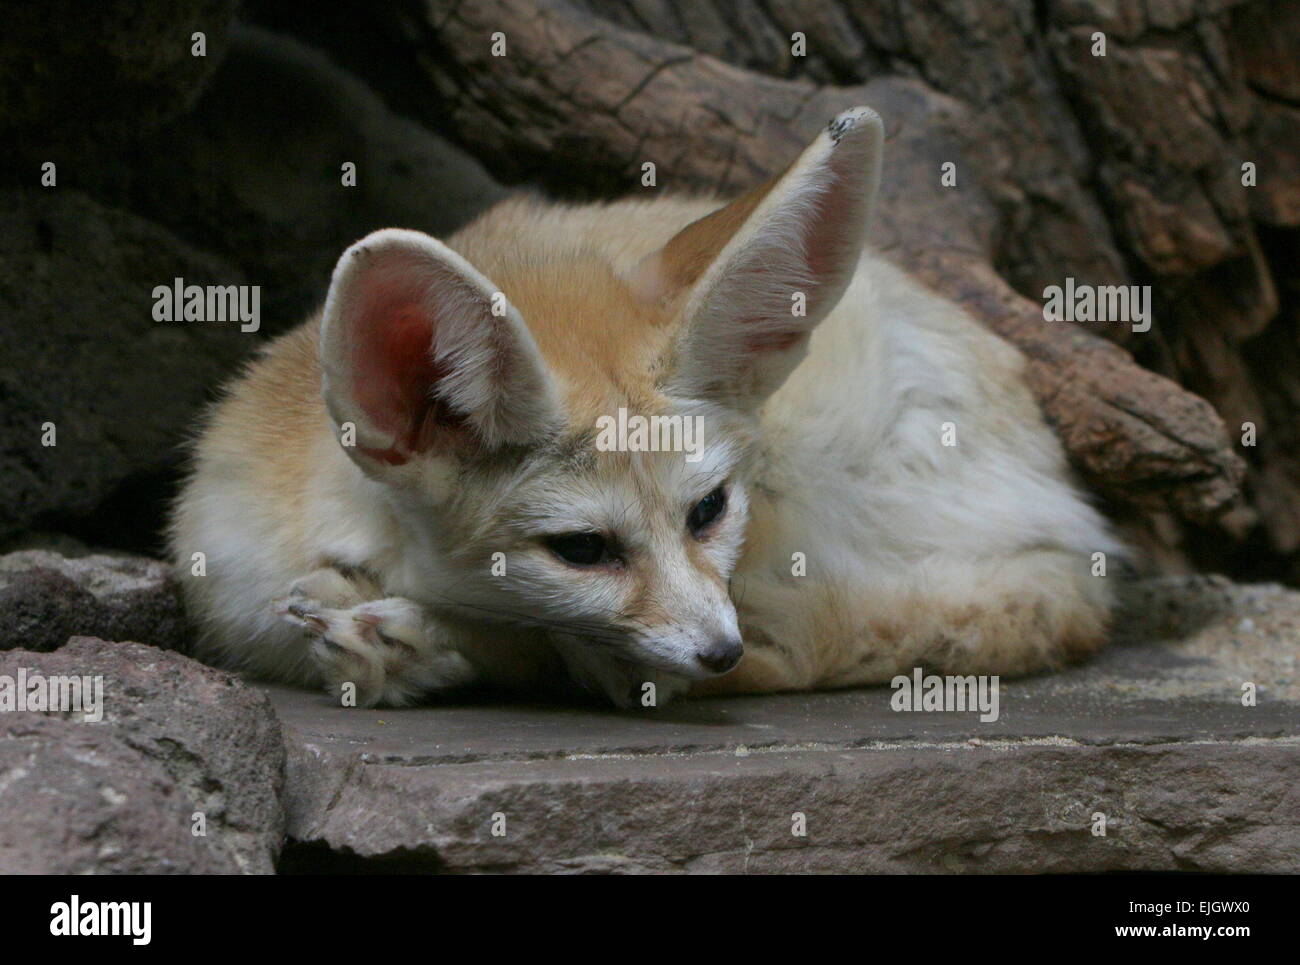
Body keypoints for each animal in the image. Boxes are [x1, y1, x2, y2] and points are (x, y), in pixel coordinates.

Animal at [169, 106, 1120, 709]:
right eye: (582, 549)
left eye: (709, 511)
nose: (721, 651)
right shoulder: (233, 580)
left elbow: (542, 646)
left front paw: (430, 641)